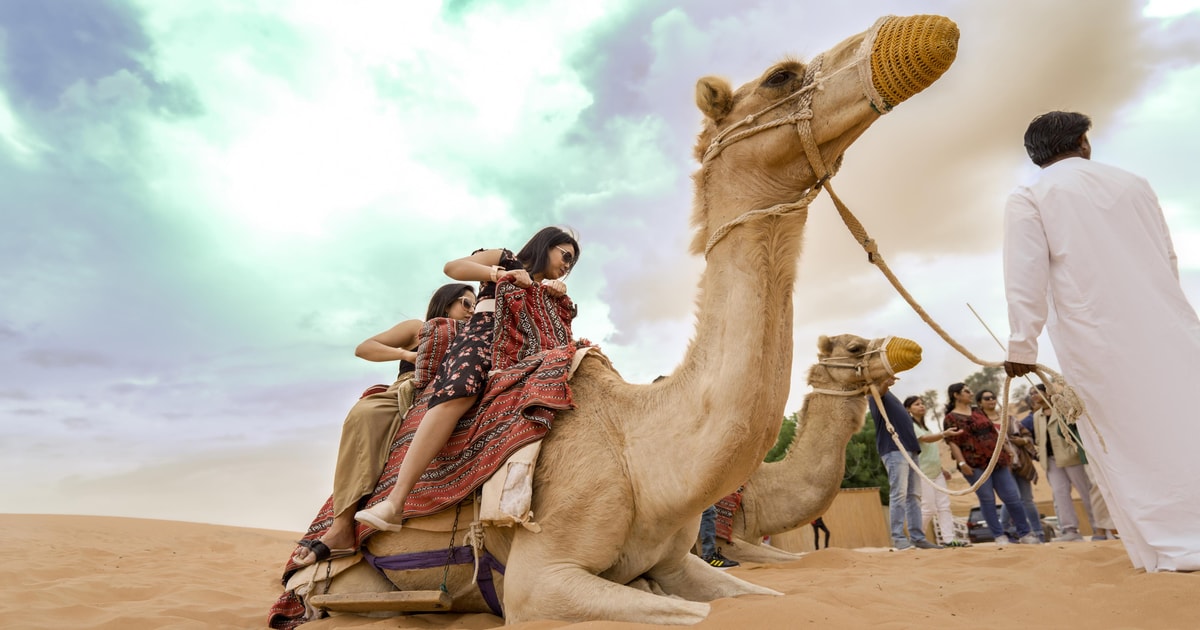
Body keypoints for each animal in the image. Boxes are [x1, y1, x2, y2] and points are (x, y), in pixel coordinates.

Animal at [714, 335, 919, 564]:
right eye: (854, 347)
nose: (912, 348)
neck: (761, 487)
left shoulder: (755, 539)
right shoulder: (727, 543)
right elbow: (797, 559)